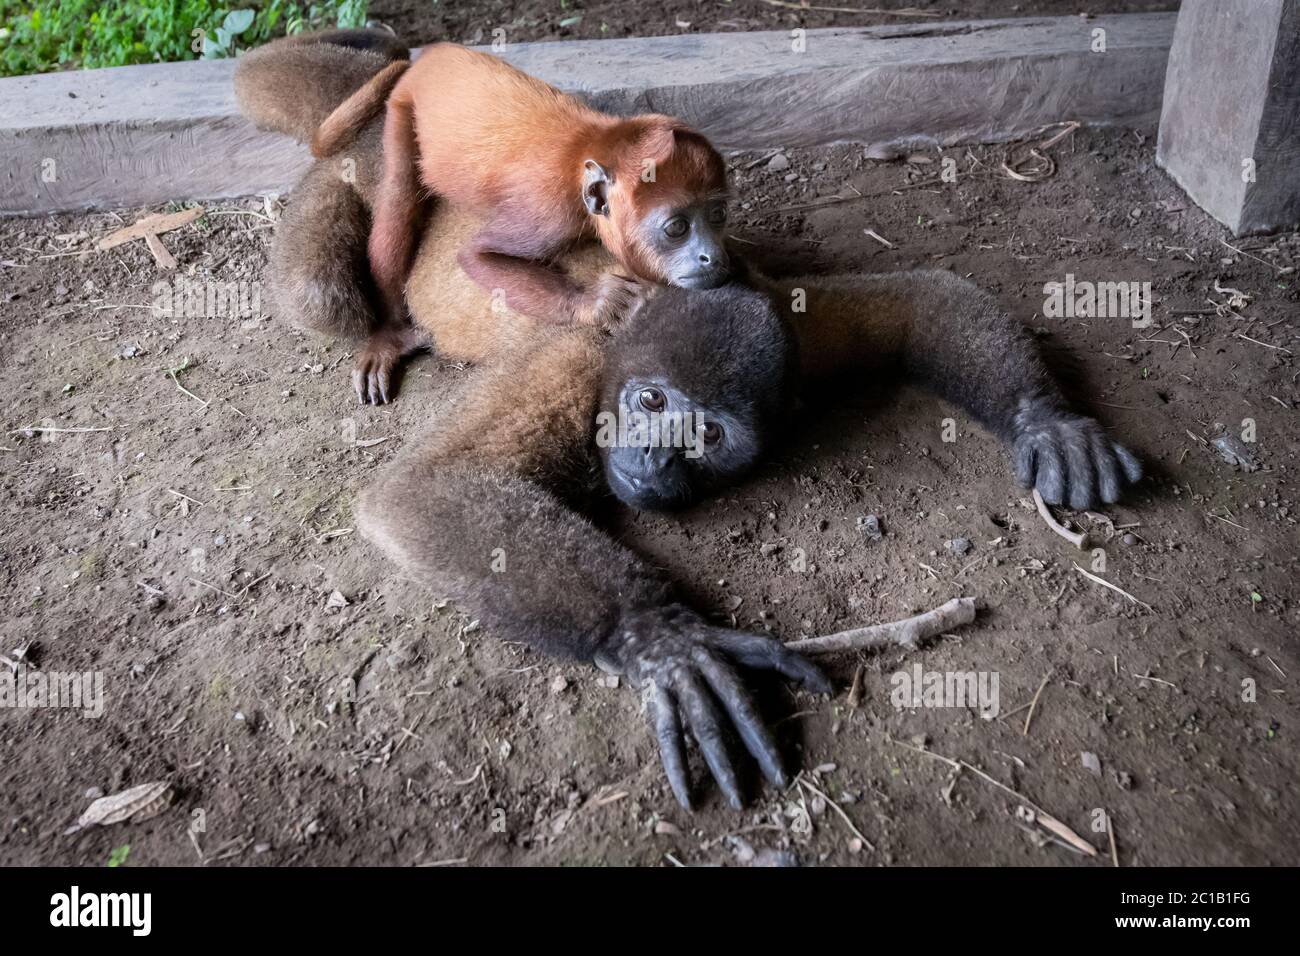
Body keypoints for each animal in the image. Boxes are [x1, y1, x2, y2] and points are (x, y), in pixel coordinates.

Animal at [311, 40, 733, 402]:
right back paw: (388, 335)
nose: (713, 256)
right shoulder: (548, 214)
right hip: (402, 106)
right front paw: (595, 304)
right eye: (676, 228)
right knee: (398, 200)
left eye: (717, 215)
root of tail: (437, 53)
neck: (589, 151)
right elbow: (476, 256)